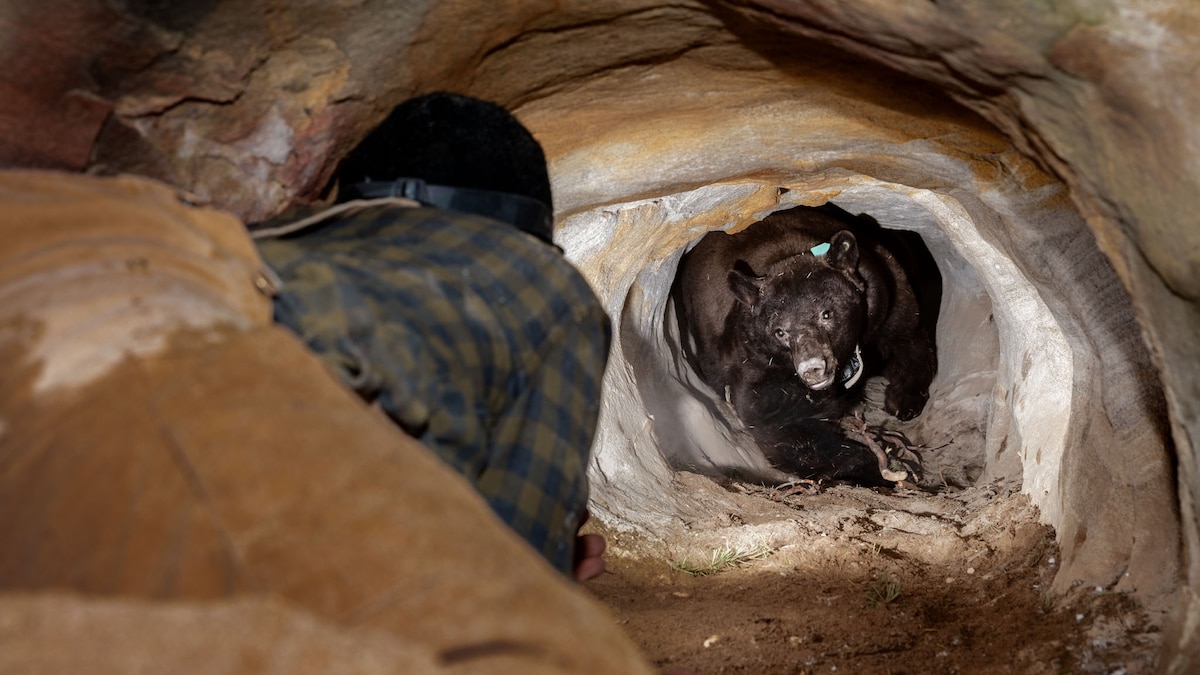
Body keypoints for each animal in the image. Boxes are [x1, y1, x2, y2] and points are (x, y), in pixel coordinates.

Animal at [673, 203, 938, 486]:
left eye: (826, 314)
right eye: (779, 332)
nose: (812, 368)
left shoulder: (884, 294)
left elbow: (907, 335)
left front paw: (904, 401)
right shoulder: (755, 362)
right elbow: (781, 424)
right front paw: (880, 466)